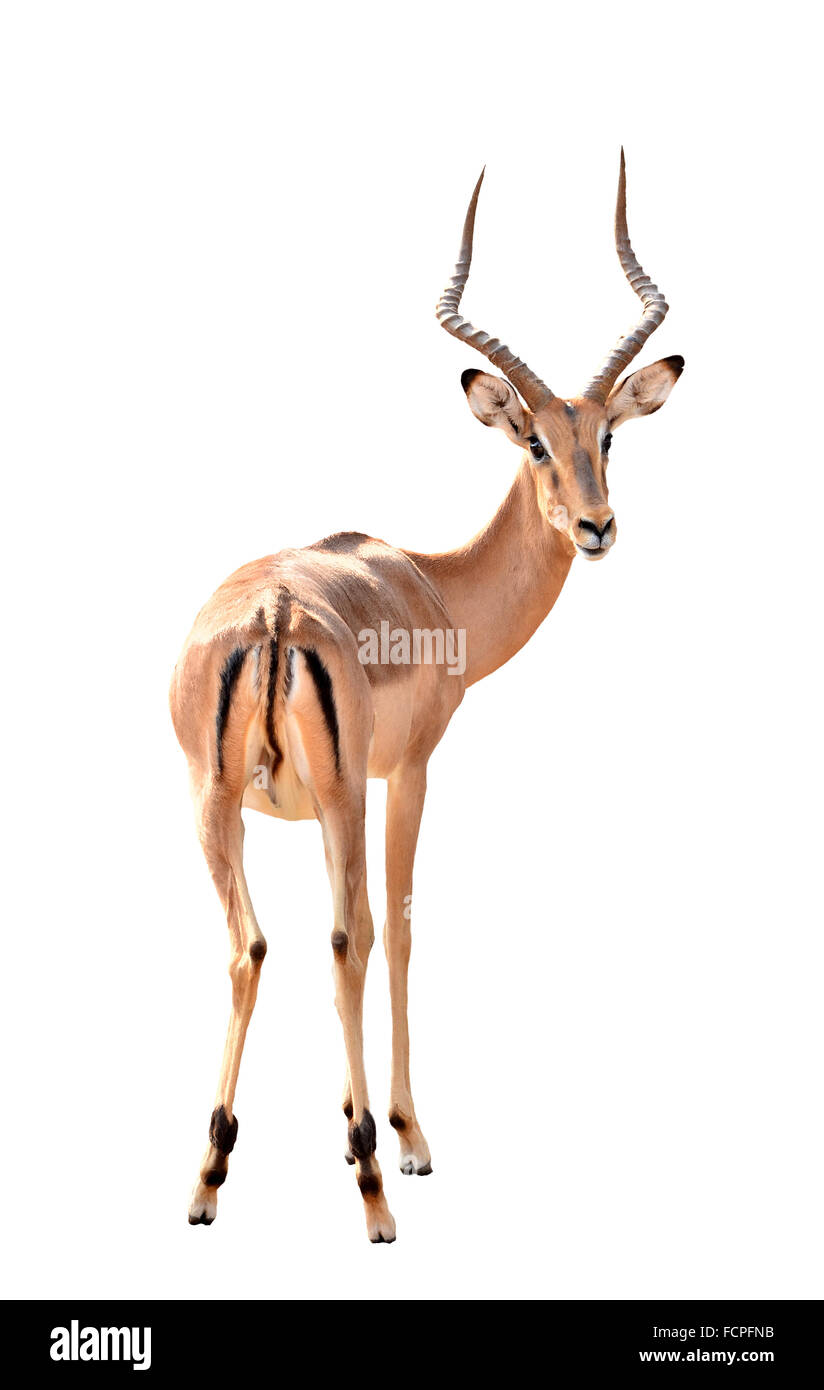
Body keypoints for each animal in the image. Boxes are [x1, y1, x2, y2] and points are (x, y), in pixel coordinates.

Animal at [170, 150, 684, 1243]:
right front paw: (404, 1135)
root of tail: (275, 613)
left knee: (251, 945)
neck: (429, 582)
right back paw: (372, 1186)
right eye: (533, 442)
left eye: (607, 438)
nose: (595, 527)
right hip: (336, 800)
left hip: (214, 805)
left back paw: (209, 1178)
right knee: (346, 939)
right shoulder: (404, 772)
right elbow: (398, 929)